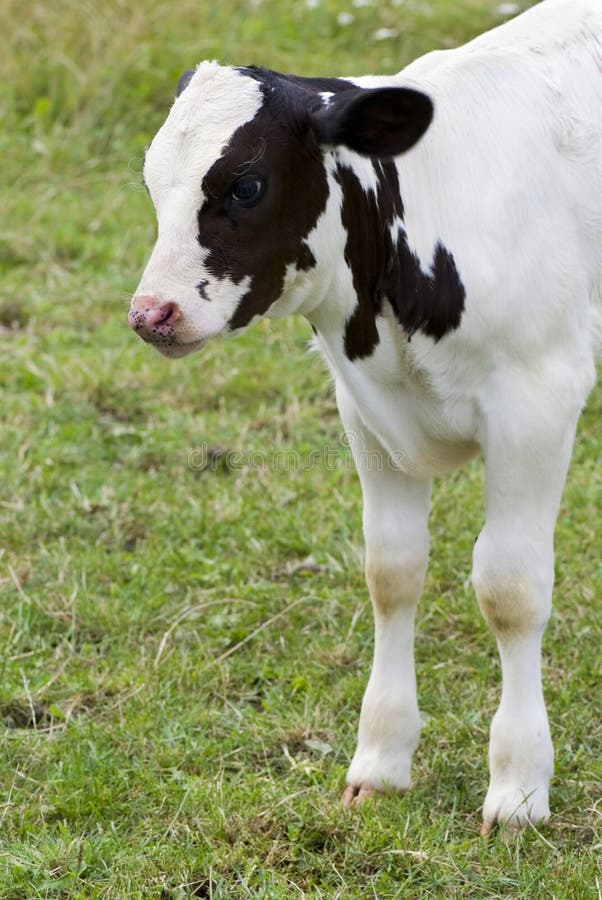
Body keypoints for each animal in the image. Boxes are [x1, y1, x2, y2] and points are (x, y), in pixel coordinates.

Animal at [128, 0, 602, 833]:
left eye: (246, 185)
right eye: (154, 181)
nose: (152, 313)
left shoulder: (537, 401)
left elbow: (510, 591)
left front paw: (518, 788)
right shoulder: (366, 409)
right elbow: (392, 570)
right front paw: (381, 760)